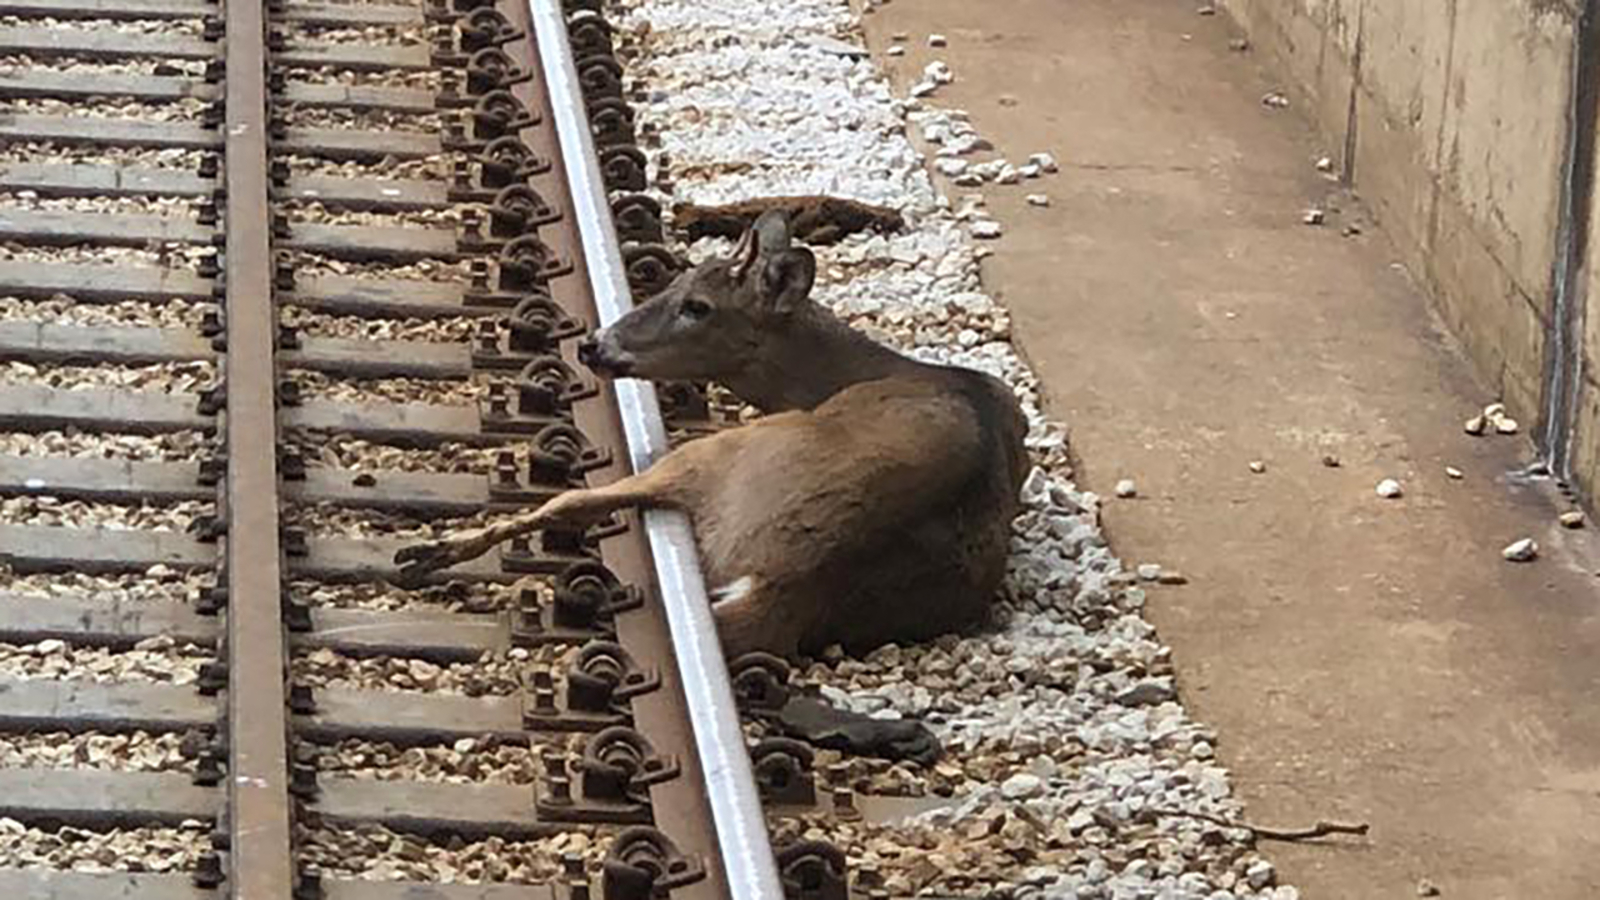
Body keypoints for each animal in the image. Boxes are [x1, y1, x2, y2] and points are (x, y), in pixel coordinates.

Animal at [394, 211, 1030, 661]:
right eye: (674, 278)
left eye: (698, 306)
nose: (593, 345)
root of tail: (785, 581)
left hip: (719, 456)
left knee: (573, 499)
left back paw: (425, 553)